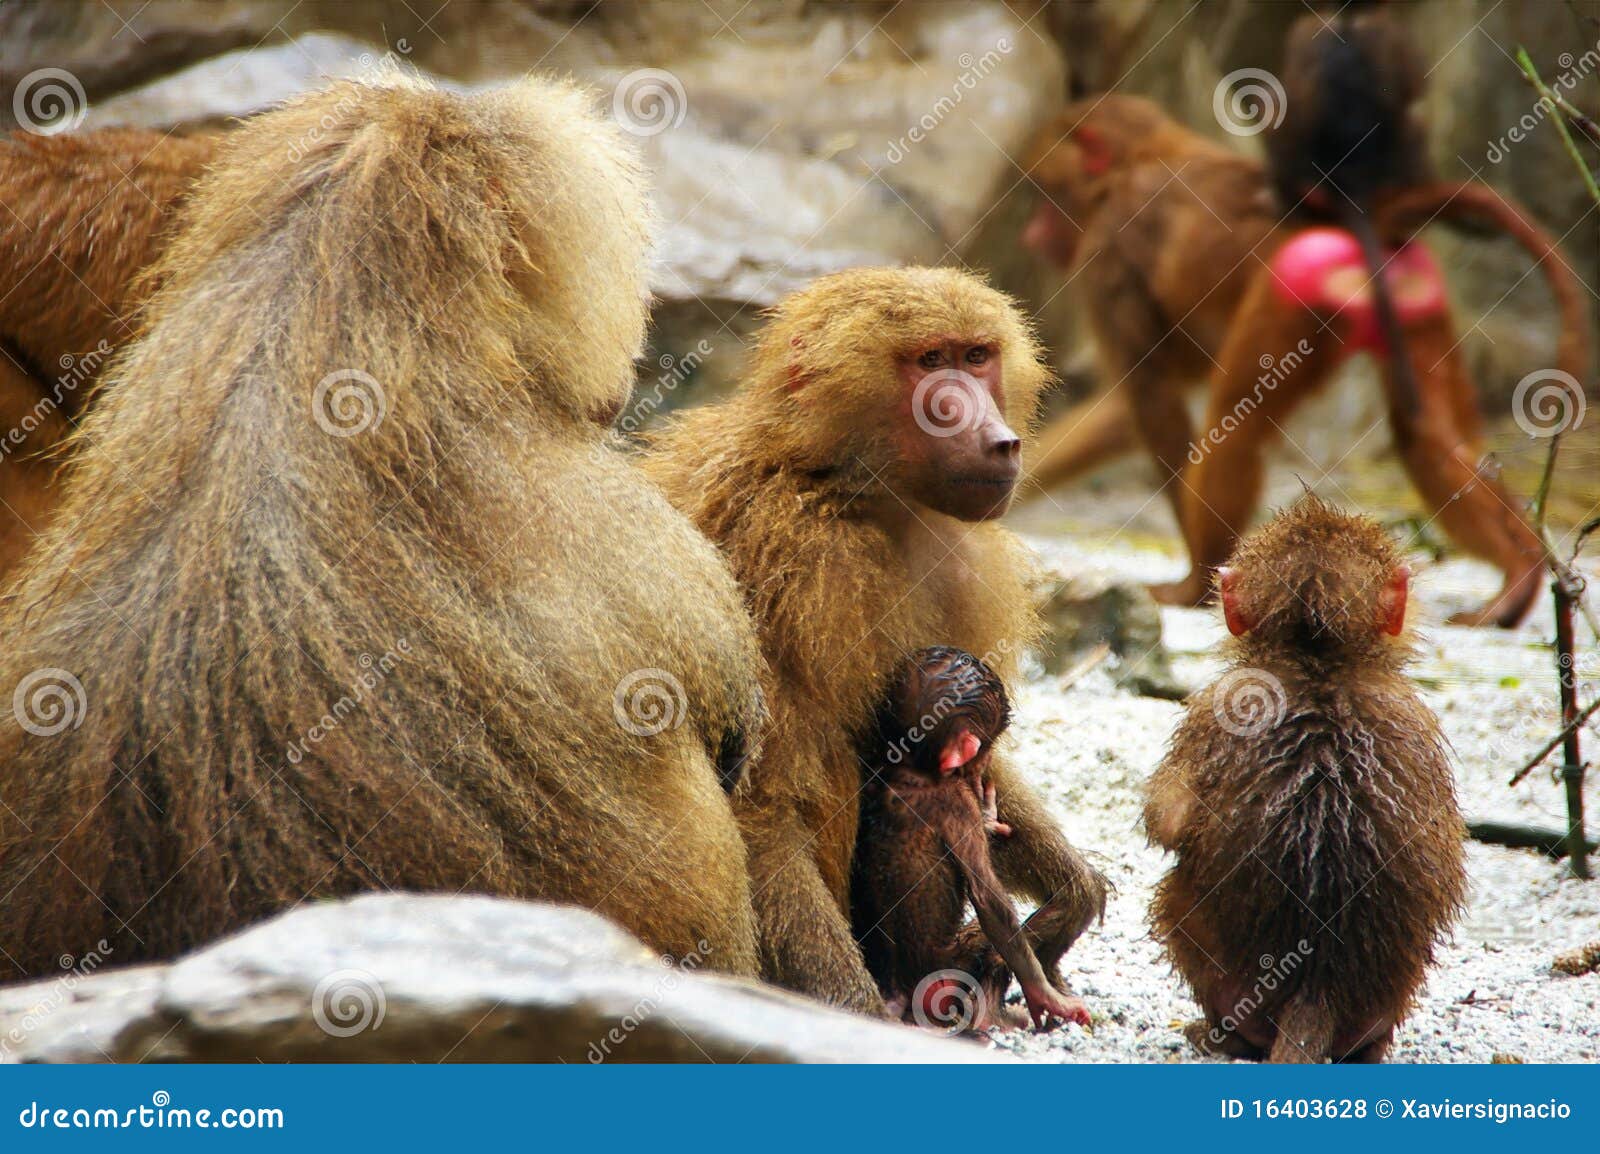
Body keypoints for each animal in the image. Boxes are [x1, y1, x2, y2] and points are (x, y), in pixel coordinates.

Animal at [852, 646, 1091, 1032]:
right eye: (988, 745)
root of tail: (900, 989)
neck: (913, 768)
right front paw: (1049, 999)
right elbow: (990, 902)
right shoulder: (957, 801)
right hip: (947, 978)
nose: (984, 762)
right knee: (991, 948)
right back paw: (991, 1018)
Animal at [1020, 95, 1590, 628]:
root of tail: (1364, 224)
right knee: (1427, 434)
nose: (1037, 235)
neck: (1142, 158)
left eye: (1044, 194)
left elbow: (1153, 399)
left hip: (1293, 299)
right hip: (1412, 299)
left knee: (1237, 425)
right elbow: (1133, 405)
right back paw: (1519, 575)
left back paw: (1200, 581)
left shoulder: (1106, 249)